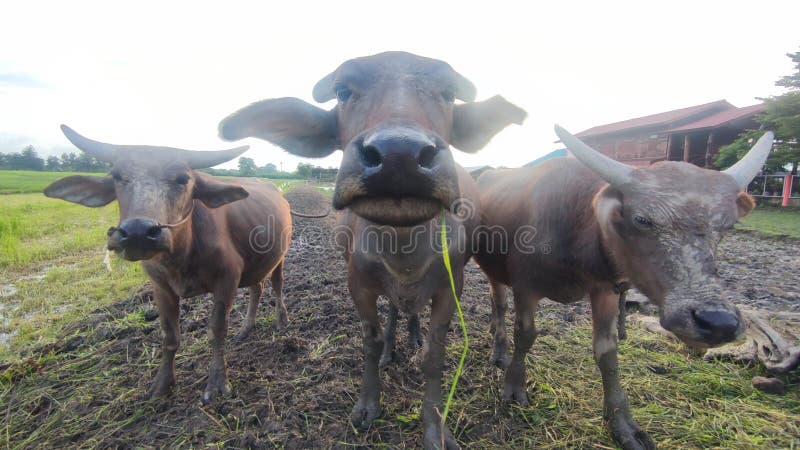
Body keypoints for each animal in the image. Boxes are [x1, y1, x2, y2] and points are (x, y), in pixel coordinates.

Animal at [44, 125, 293, 404]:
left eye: (183, 179)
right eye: (118, 176)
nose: (138, 232)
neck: (180, 257)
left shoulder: (227, 279)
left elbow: (217, 330)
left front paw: (217, 382)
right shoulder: (160, 286)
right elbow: (169, 335)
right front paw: (162, 383)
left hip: (280, 257)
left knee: (276, 285)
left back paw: (281, 319)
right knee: (256, 289)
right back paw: (246, 328)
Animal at [218, 51, 526, 449]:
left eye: (448, 93)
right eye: (342, 91)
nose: (399, 154)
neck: (403, 250)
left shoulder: (450, 286)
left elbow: (435, 355)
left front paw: (435, 427)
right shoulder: (359, 284)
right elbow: (371, 341)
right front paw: (368, 404)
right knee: (395, 311)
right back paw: (394, 347)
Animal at [474, 125, 774, 449]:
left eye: (727, 226)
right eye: (642, 219)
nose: (717, 322)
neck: (577, 227)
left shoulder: (605, 290)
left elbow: (607, 353)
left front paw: (622, 424)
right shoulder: (525, 287)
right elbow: (525, 335)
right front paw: (514, 385)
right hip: (492, 270)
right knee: (499, 303)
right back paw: (499, 350)